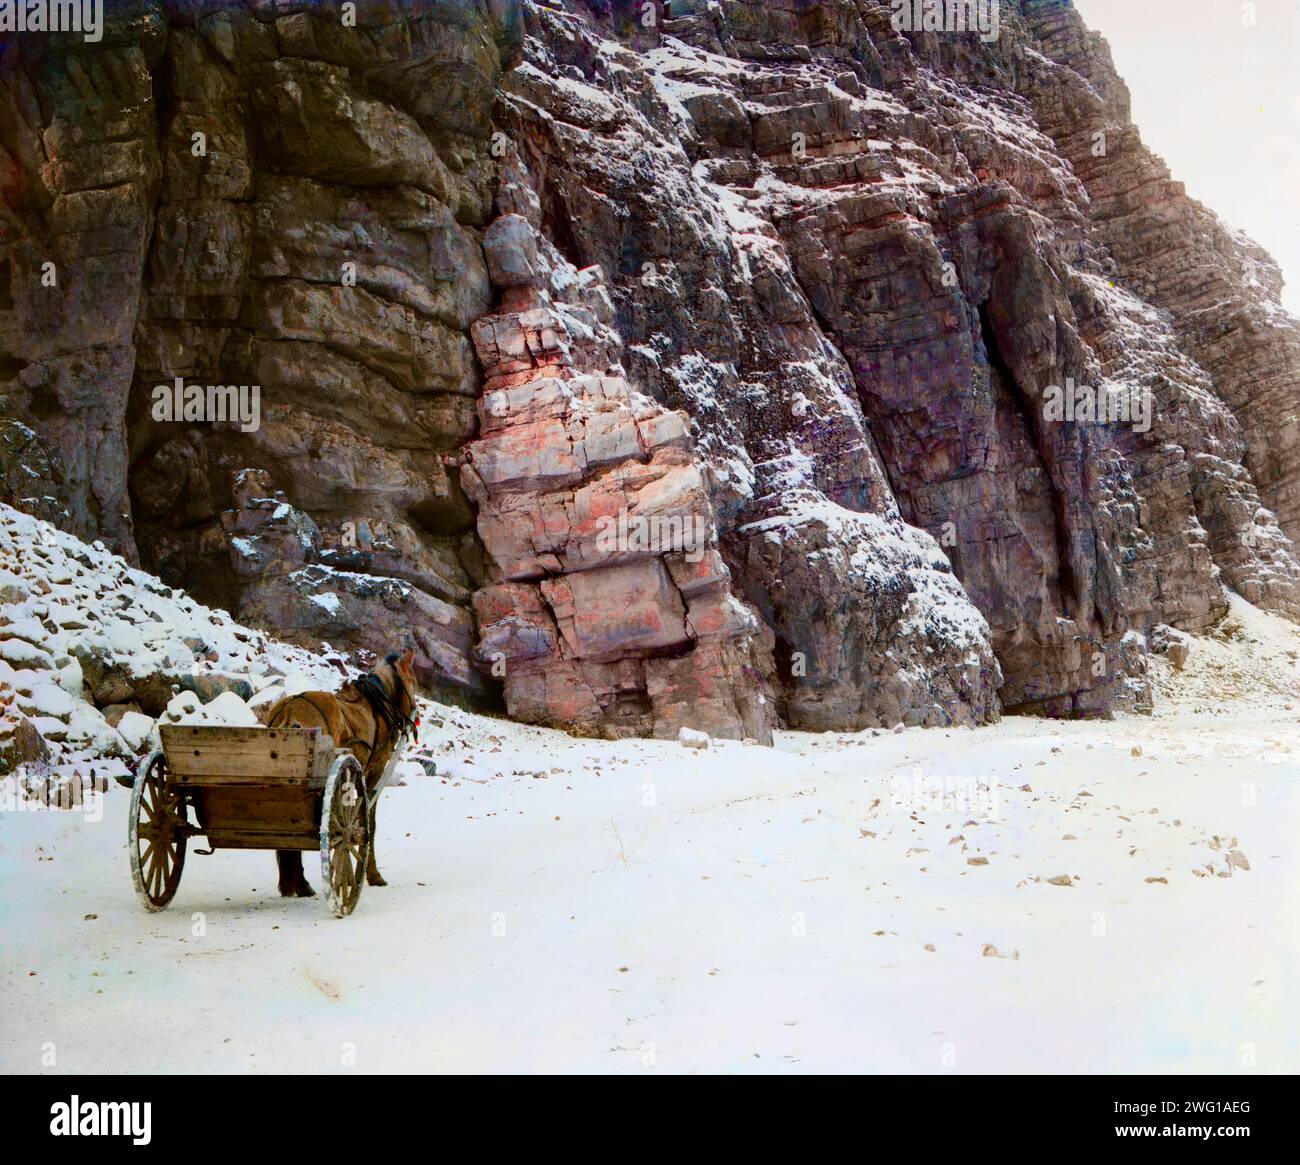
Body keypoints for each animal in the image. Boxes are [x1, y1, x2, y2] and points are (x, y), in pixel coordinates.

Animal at [262, 647, 419, 897]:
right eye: (412, 681)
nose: (415, 714)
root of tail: (289, 710)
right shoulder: (373, 771)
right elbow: (369, 821)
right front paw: (372, 874)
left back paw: (293, 884)